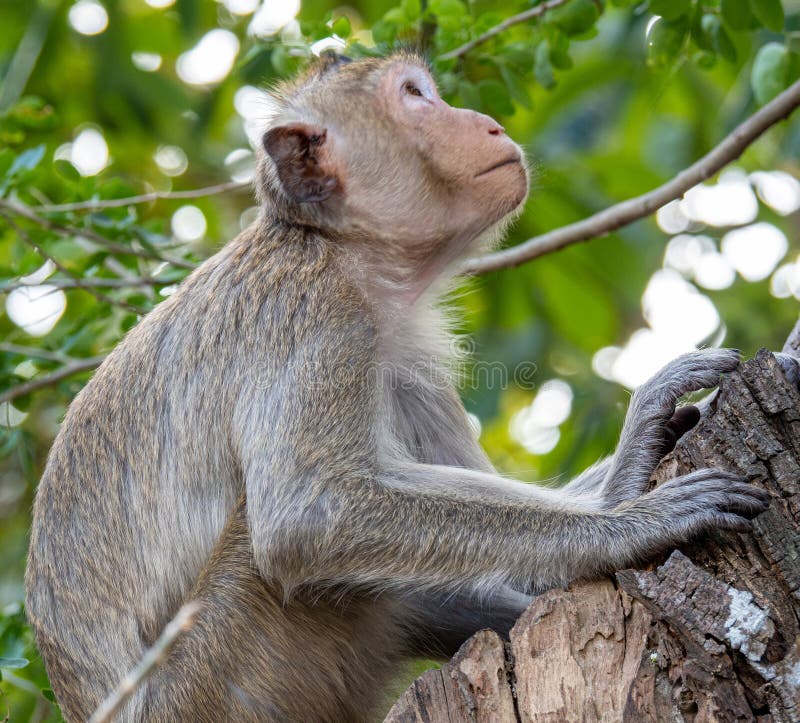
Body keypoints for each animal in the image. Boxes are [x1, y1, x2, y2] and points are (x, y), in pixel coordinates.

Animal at [24, 51, 772, 723]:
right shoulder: (318, 315)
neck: (339, 247)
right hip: (215, 684)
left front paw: (637, 452)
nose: (489, 124)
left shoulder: (406, 351)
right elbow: (307, 517)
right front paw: (627, 515)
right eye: (414, 96)